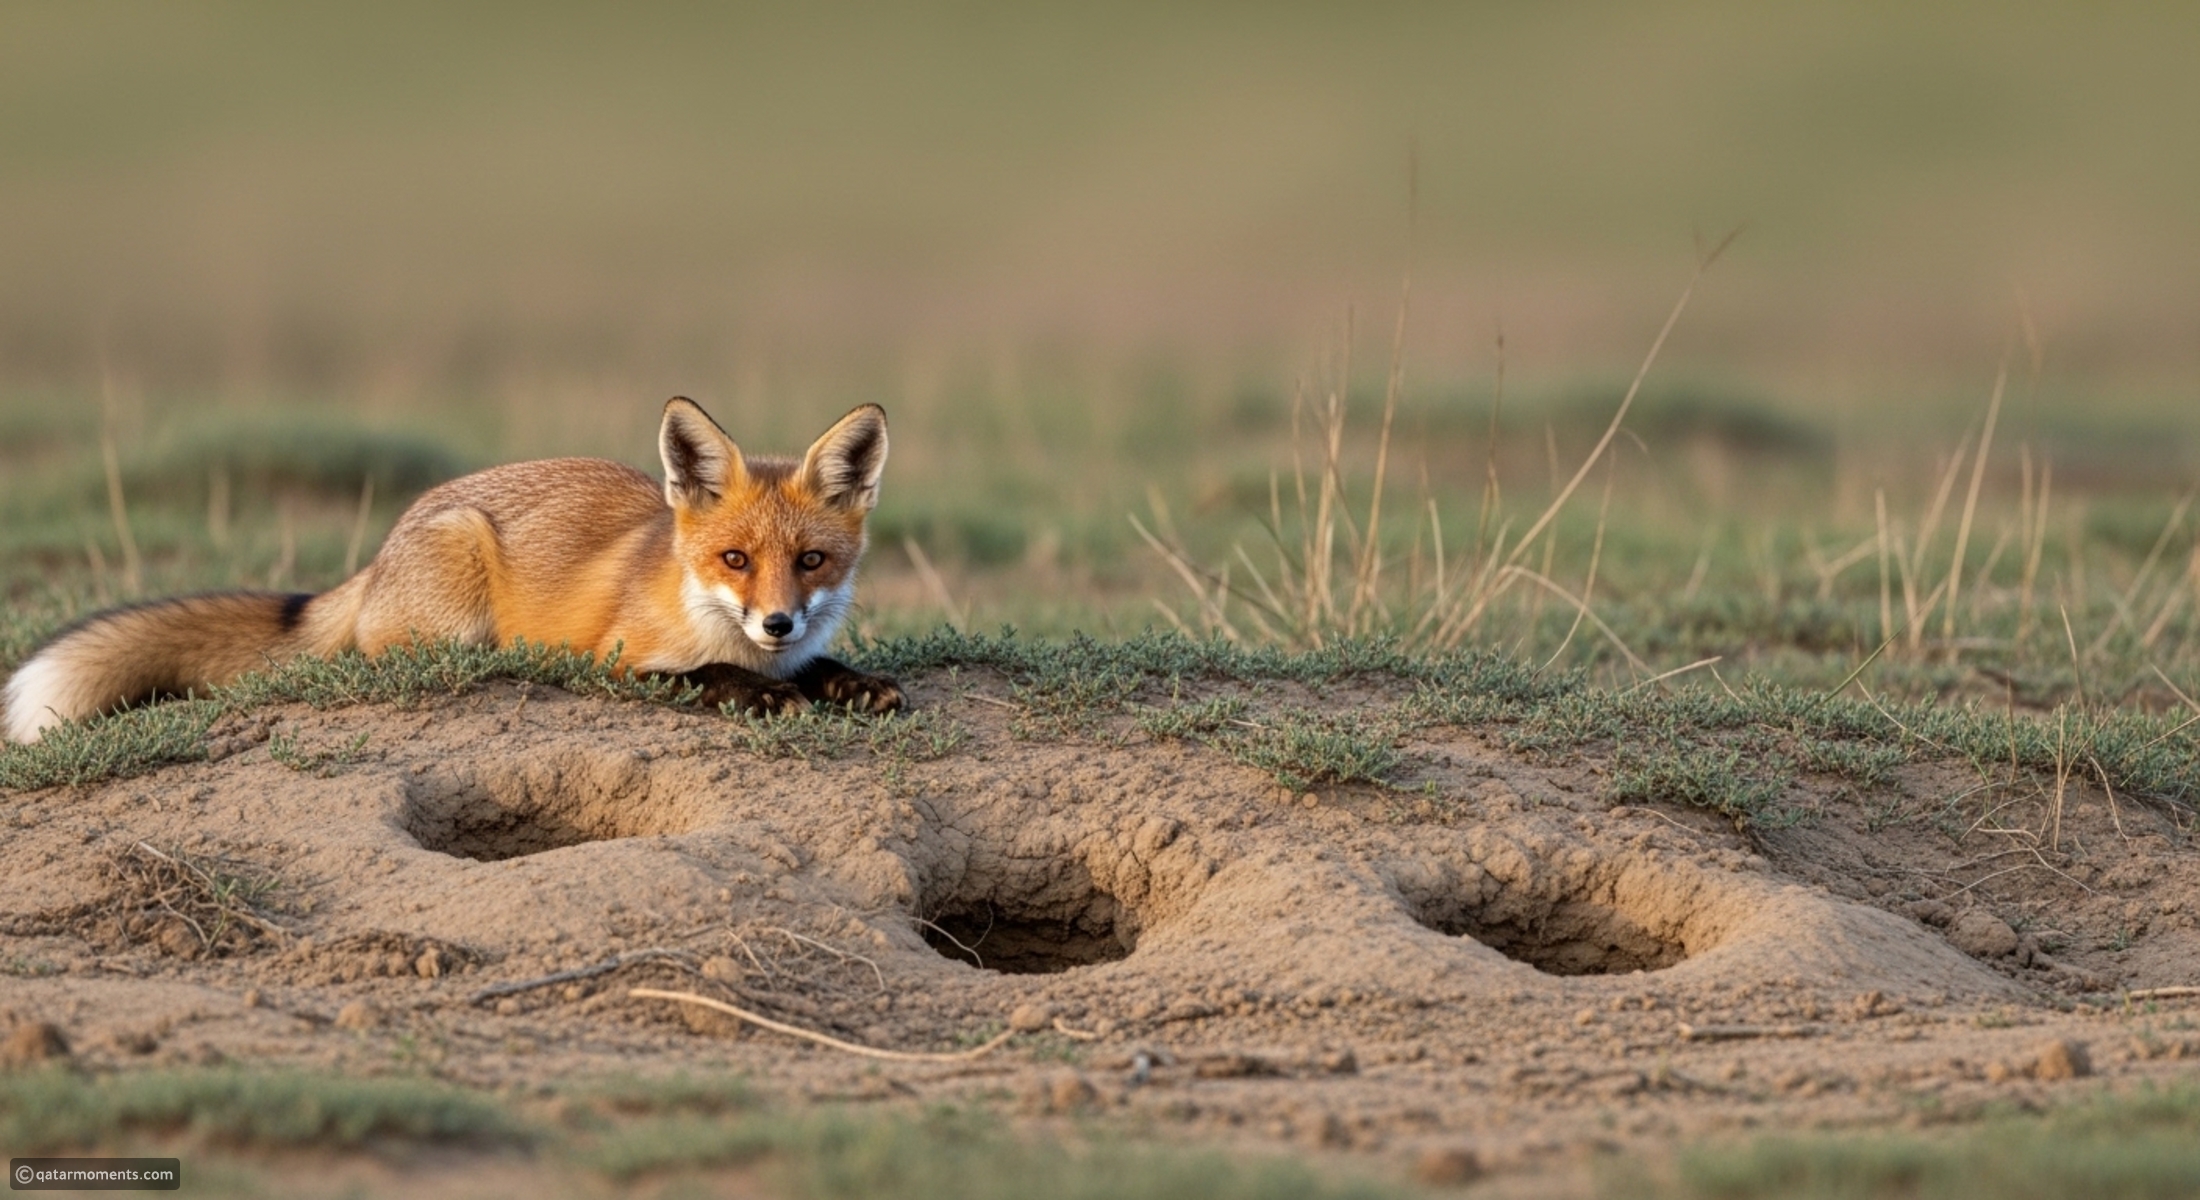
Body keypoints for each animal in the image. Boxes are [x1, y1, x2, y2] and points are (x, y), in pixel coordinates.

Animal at [2, 397, 904, 744]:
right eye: (735, 559)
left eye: (811, 561)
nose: (777, 621)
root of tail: (377, 558)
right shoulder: (616, 659)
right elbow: (709, 673)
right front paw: (764, 693)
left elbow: (820, 664)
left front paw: (852, 682)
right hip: (460, 570)